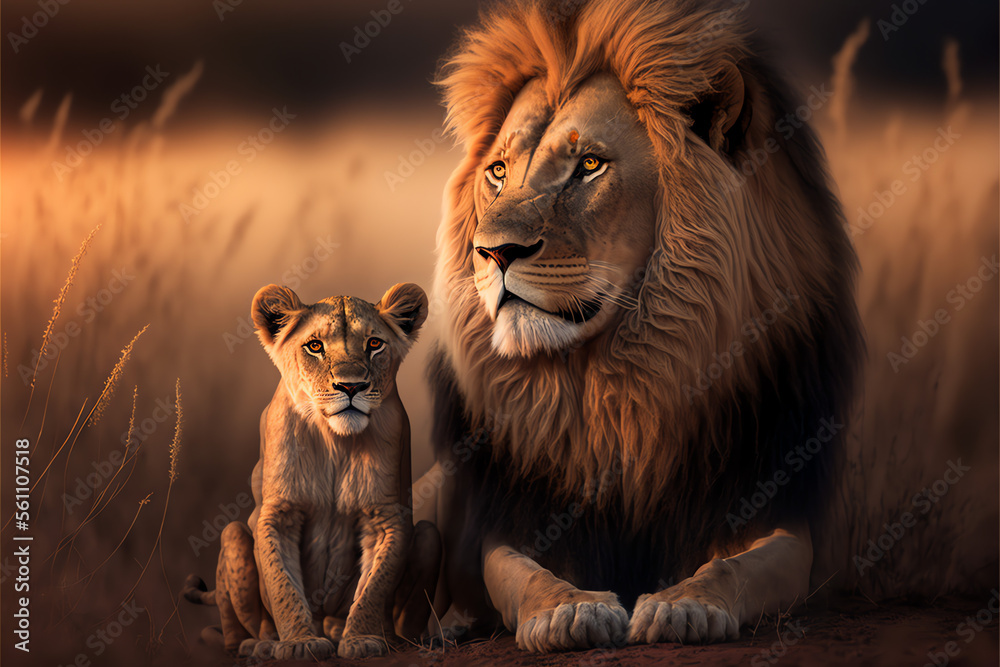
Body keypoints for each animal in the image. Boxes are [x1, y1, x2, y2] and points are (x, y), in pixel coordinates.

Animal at [183, 283, 441, 660]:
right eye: (315, 346)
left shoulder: (386, 517)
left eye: (374, 344)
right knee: (237, 627)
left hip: (427, 536)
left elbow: (374, 587)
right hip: (233, 537)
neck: (334, 442)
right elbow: (282, 585)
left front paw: (361, 639)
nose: (351, 387)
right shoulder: (278, 515)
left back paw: (398, 639)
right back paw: (259, 644)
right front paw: (298, 643)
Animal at [413, 0, 863, 652]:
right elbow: (521, 572)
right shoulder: (512, 518)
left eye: (590, 165)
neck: (617, 389)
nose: (491, 251)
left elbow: (739, 564)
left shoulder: (775, 505)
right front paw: (570, 610)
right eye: (497, 171)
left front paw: (684, 605)